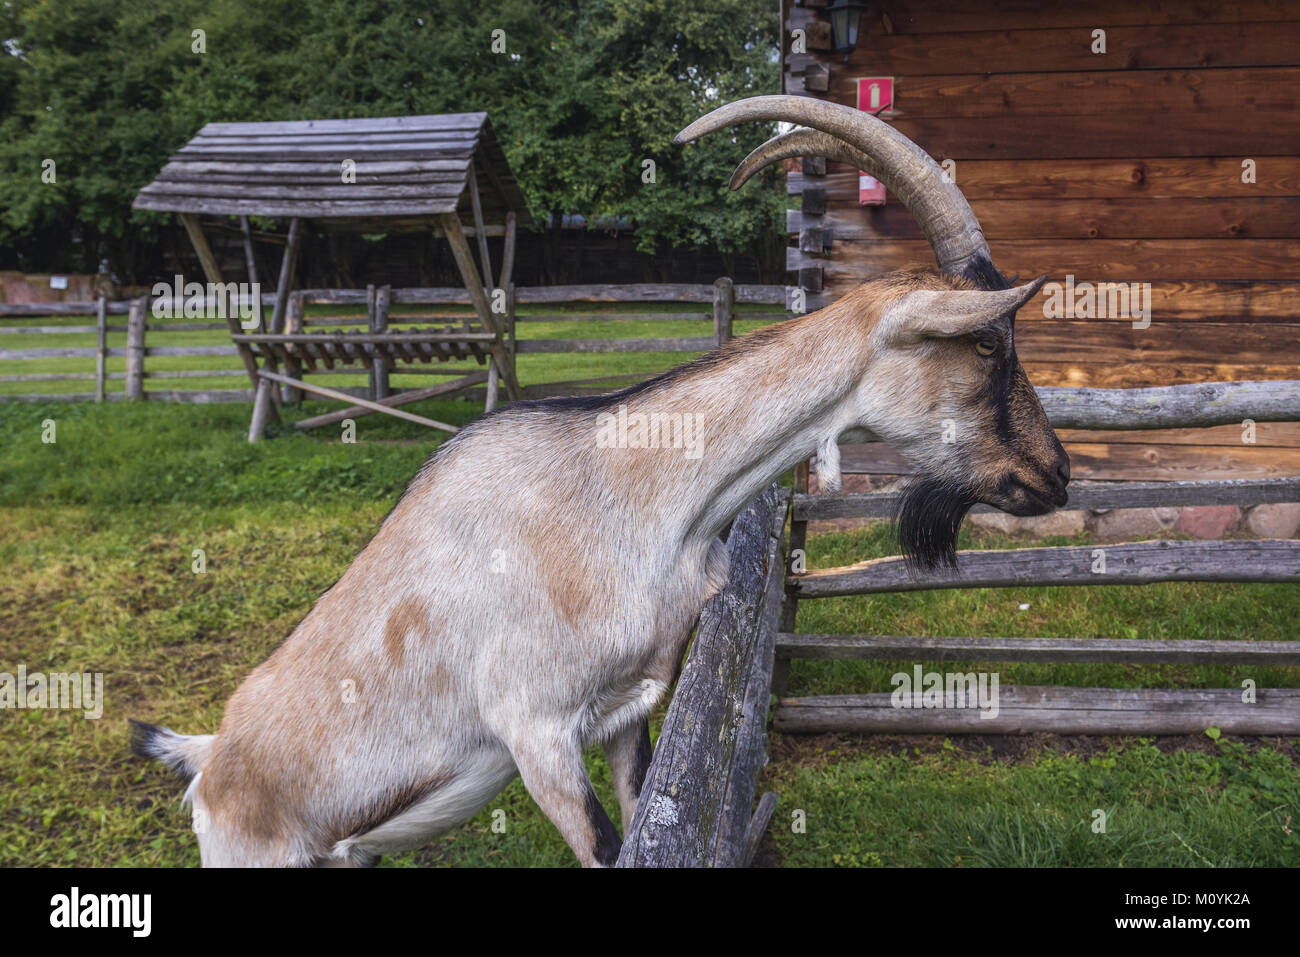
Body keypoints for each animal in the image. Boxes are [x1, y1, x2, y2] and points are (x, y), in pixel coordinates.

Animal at [131, 96, 1070, 867]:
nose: (1053, 474)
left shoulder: (627, 711)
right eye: (986, 342)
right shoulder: (537, 731)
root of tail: (206, 759)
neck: (631, 495)